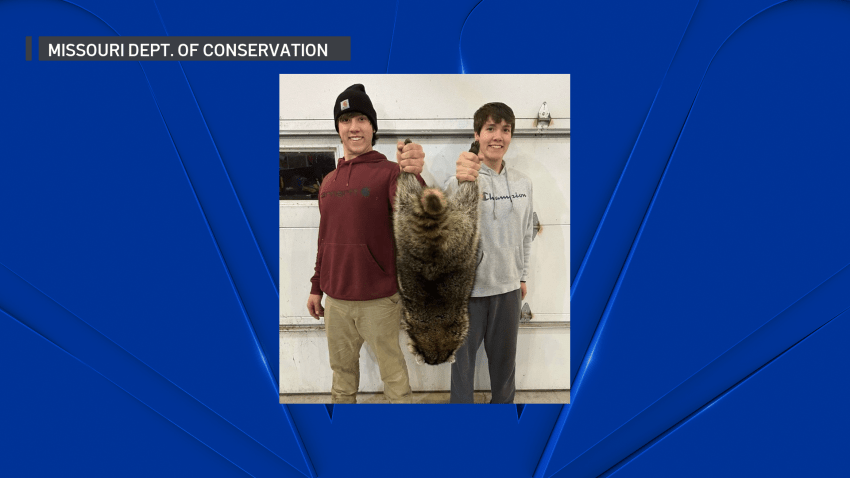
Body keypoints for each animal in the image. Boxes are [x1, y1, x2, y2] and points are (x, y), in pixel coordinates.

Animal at [394, 140, 480, 365]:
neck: (435, 327)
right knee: (469, 196)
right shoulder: (459, 322)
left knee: (407, 190)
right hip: (463, 229)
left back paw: (406, 170)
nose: (435, 362)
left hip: (414, 225)